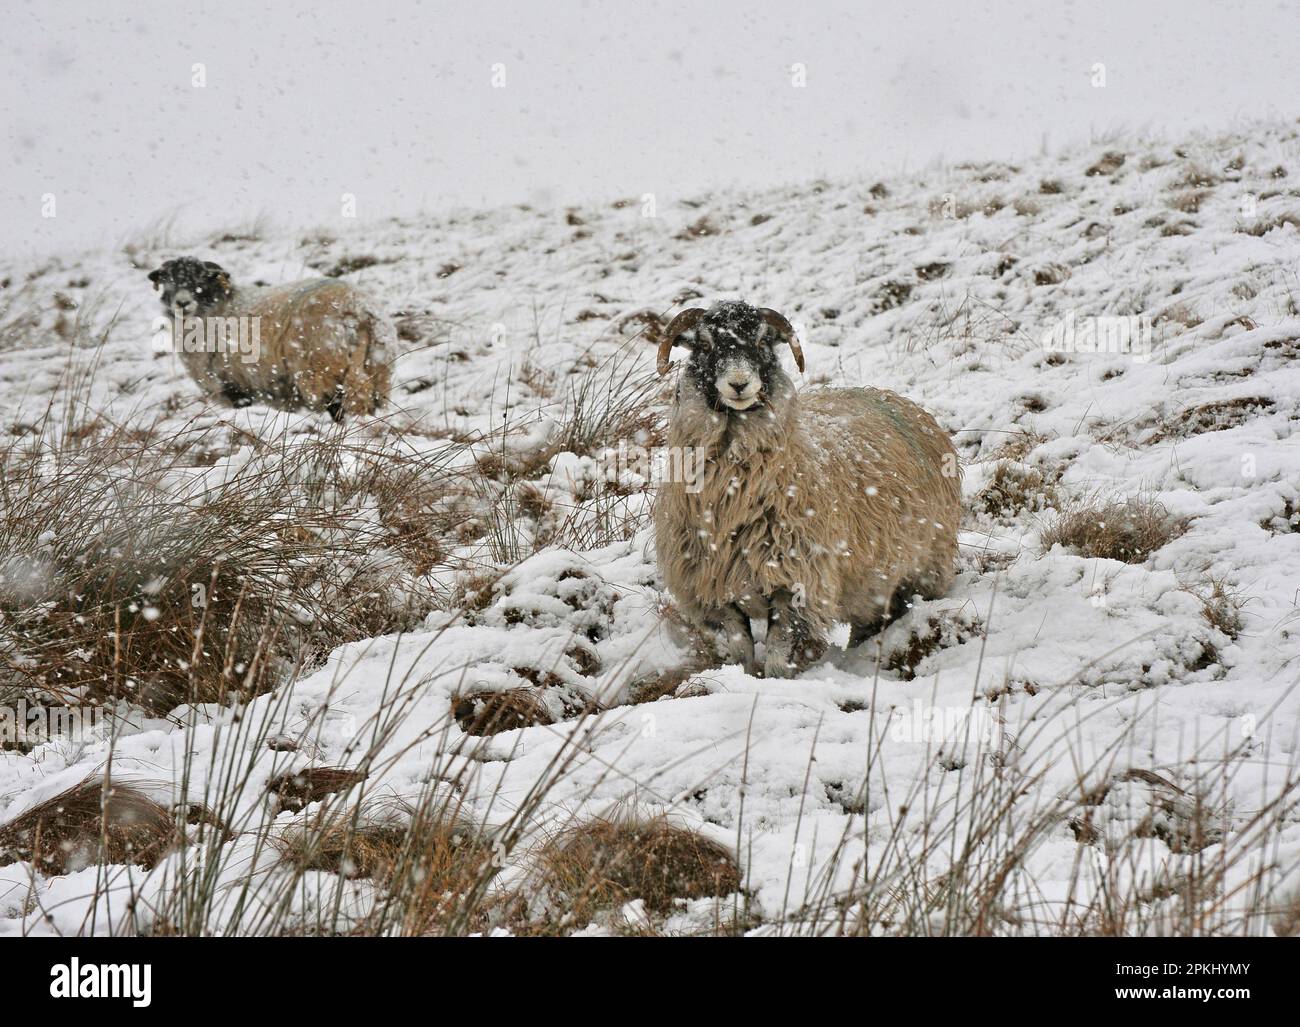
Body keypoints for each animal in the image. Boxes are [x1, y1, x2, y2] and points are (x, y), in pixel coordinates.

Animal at [147, 257, 392, 421]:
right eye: (167, 281)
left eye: (202, 281)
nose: (182, 303)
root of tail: (355, 308)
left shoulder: (233, 385)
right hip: (378, 366)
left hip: (318, 372)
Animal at [653, 300, 961, 678]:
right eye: (705, 345)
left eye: (763, 342)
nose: (739, 384)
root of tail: (901, 401)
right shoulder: (715, 591)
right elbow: (741, 651)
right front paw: (742, 677)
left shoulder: (796, 584)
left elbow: (777, 654)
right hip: (873, 579)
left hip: (928, 563)